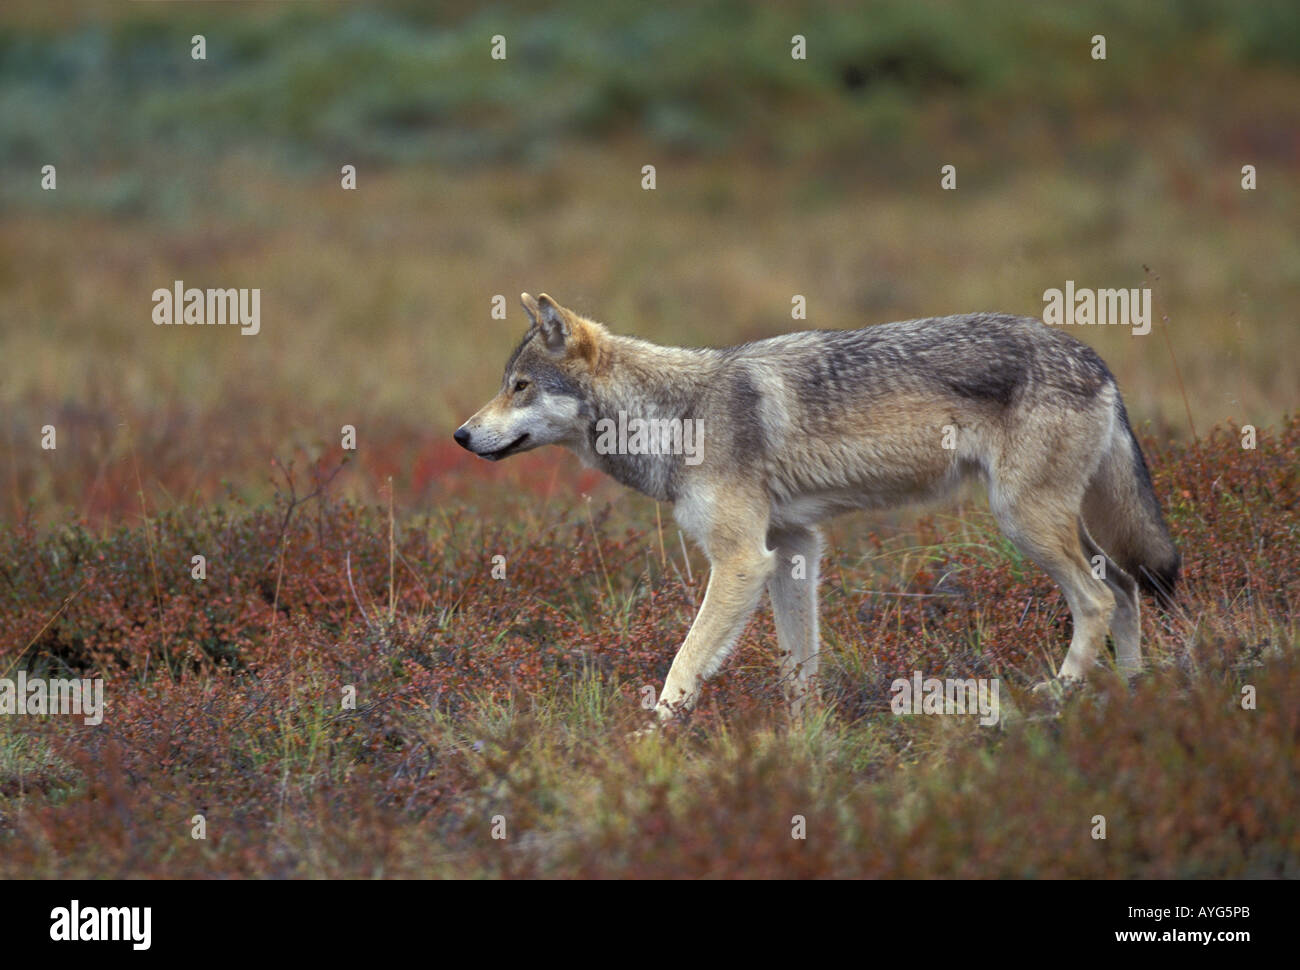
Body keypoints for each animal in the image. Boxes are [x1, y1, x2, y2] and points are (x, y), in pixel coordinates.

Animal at [454, 293, 1180, 723]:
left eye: (521, 386)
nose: (460, 436)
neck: (674, 415)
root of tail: (1094, 357)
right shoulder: (792, 548)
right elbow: (798, 664)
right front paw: (803, 738)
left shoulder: (742, 560)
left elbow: (685, 663)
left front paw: (654, 737)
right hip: (1056, 525)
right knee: (1124, 588)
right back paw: (1134, 692)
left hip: (1023, 522)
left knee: (1098, 598)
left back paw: (1061, 695)